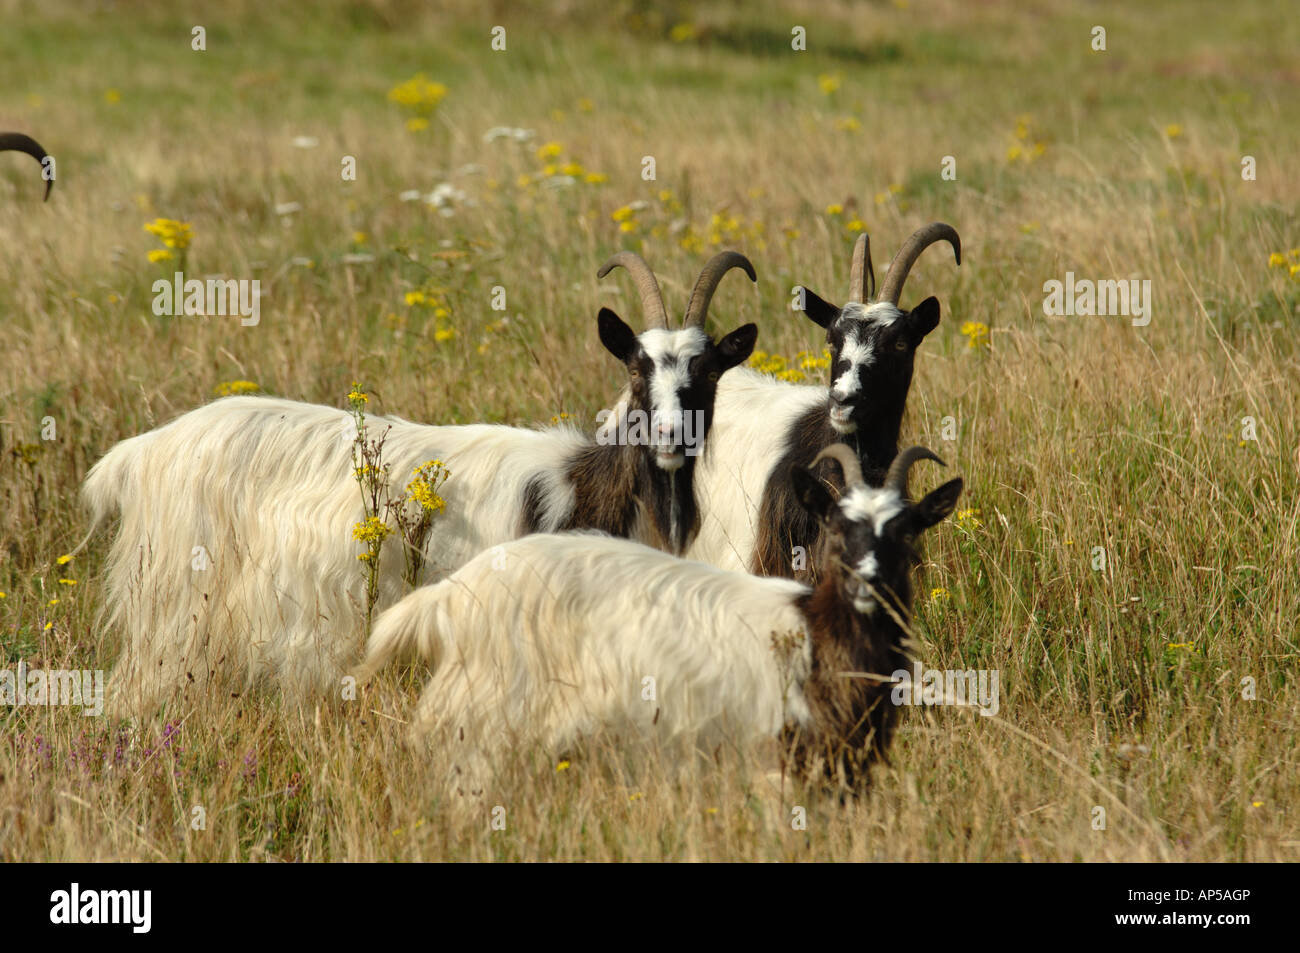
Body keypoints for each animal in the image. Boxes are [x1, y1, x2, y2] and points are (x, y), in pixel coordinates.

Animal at [82, 251, 758, 715]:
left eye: (708, 373)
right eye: (637, 368)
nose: (669, 437)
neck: (582, 486)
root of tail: (140, 453)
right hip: (174, 606)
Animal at [357, 444, 962, 793]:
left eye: (907, 529)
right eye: (838, 525)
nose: (867, 582)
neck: (813, 635)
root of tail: (450, 597)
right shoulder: (776, 764)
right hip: (484, 726)